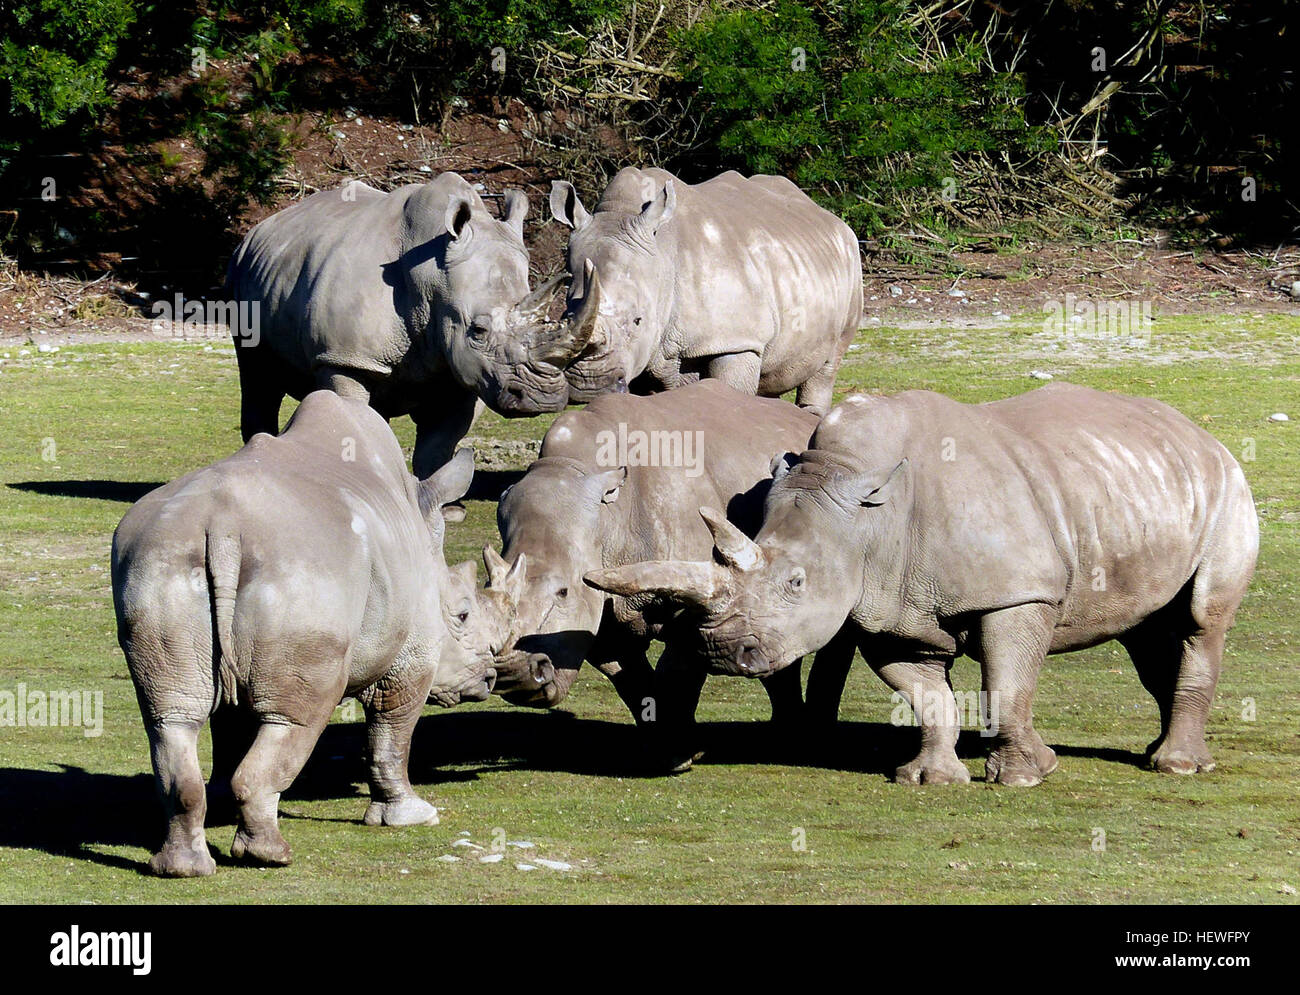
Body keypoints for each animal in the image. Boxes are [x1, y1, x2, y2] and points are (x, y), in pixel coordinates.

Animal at [112, 391, 514, 877]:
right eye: (462, 614)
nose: (488, 679)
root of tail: (222, 527)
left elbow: (230, 723)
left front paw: (222, 799)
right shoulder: (413, 652)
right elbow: (392, 731)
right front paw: (411, 816)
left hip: (159, 558)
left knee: (172, 717)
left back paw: (183, 867)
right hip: (308, 574)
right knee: (298, 718)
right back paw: (272, 856)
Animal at [226, 173, 598, 477]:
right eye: (478, 331)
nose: (544, 398)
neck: (432, 279)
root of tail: (258, 229)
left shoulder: (465, 368)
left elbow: (437, 447)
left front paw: (445, 505)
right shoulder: (344, 358)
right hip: (241, 271)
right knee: (257, 374)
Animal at [484, 380, 825, 767]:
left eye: (563, 592)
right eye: (487, 585)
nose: (513, 676)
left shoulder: (703, 595)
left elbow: (680, 671)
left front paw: (682, 755)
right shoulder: (601, 612)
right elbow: (630, 680)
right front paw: (668, 751)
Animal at [548, 167, 862, 414]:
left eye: (638, 321)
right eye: (565, 316)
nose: (589, 385)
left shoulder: (737, 339)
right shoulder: (650, 352)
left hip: (850, 261)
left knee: (830, 361)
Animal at [586, 384, 1259, 786]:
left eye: (796, 583)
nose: (724, 653)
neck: (863, 512)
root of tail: (1199, 432)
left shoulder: (1018, 593)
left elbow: (1008, 682)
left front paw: (1025, 775)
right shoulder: (888, 607)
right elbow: (924, 692)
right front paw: (929, 778)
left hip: (1227, 487)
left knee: (1200, 620)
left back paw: (1176, 768)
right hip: (1135, 486)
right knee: (1149, 634)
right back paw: (1161, 753)